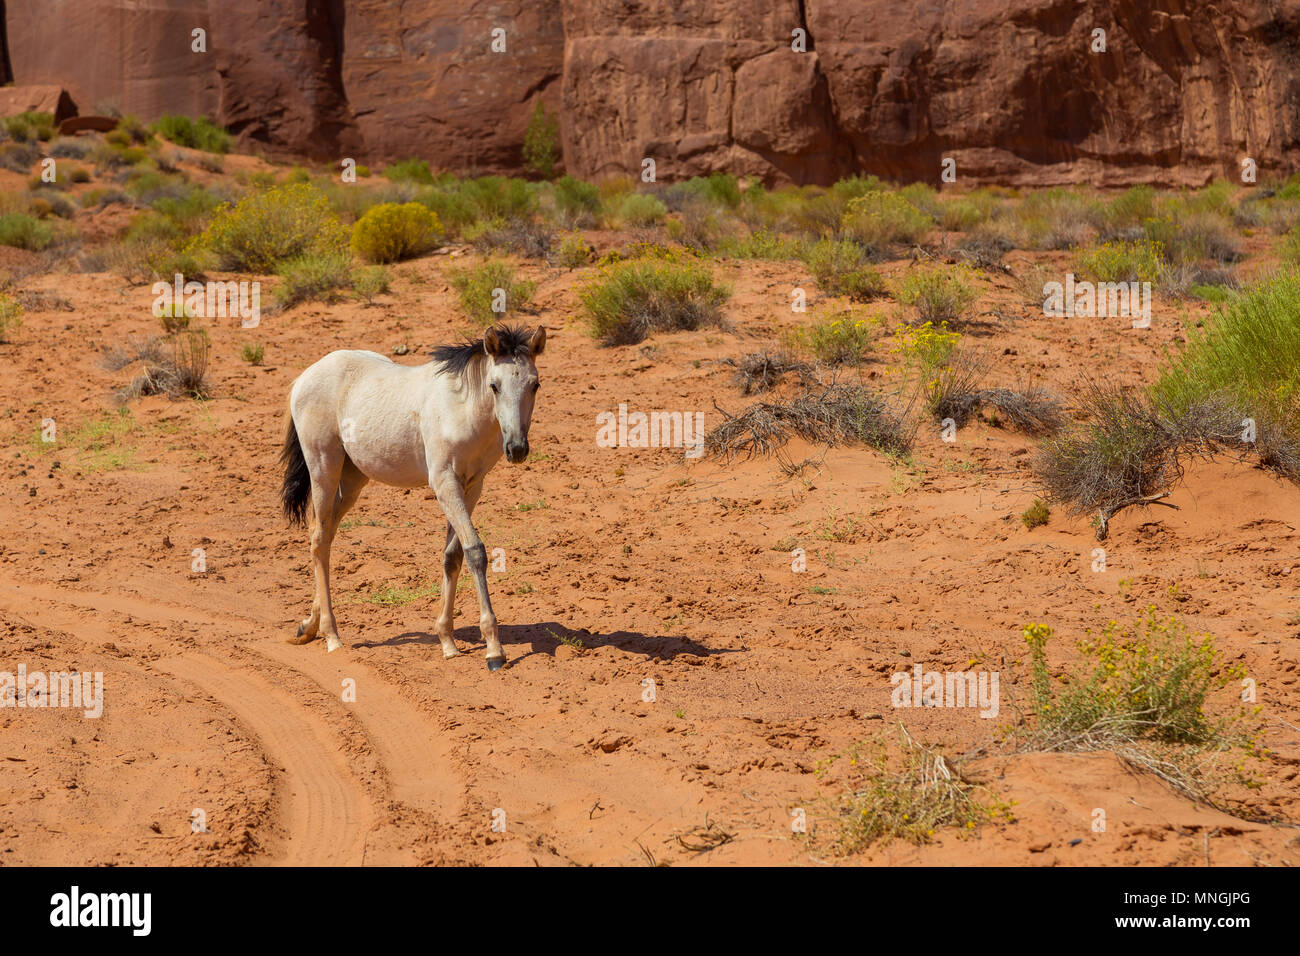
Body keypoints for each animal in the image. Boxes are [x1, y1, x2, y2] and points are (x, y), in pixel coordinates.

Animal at [279, 323, 545, 671]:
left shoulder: (472, 486)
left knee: (325, 537)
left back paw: (308, 626)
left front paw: (447, 641)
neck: (462, 409)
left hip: (353, 480)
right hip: (323, 469)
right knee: (319, 539)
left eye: (535, 384)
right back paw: (331, 635)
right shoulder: (444, 483)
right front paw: (493, 650)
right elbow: (475, 551)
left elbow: (452, 555)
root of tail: (304, 377)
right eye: (494, 385)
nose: (516, 448)